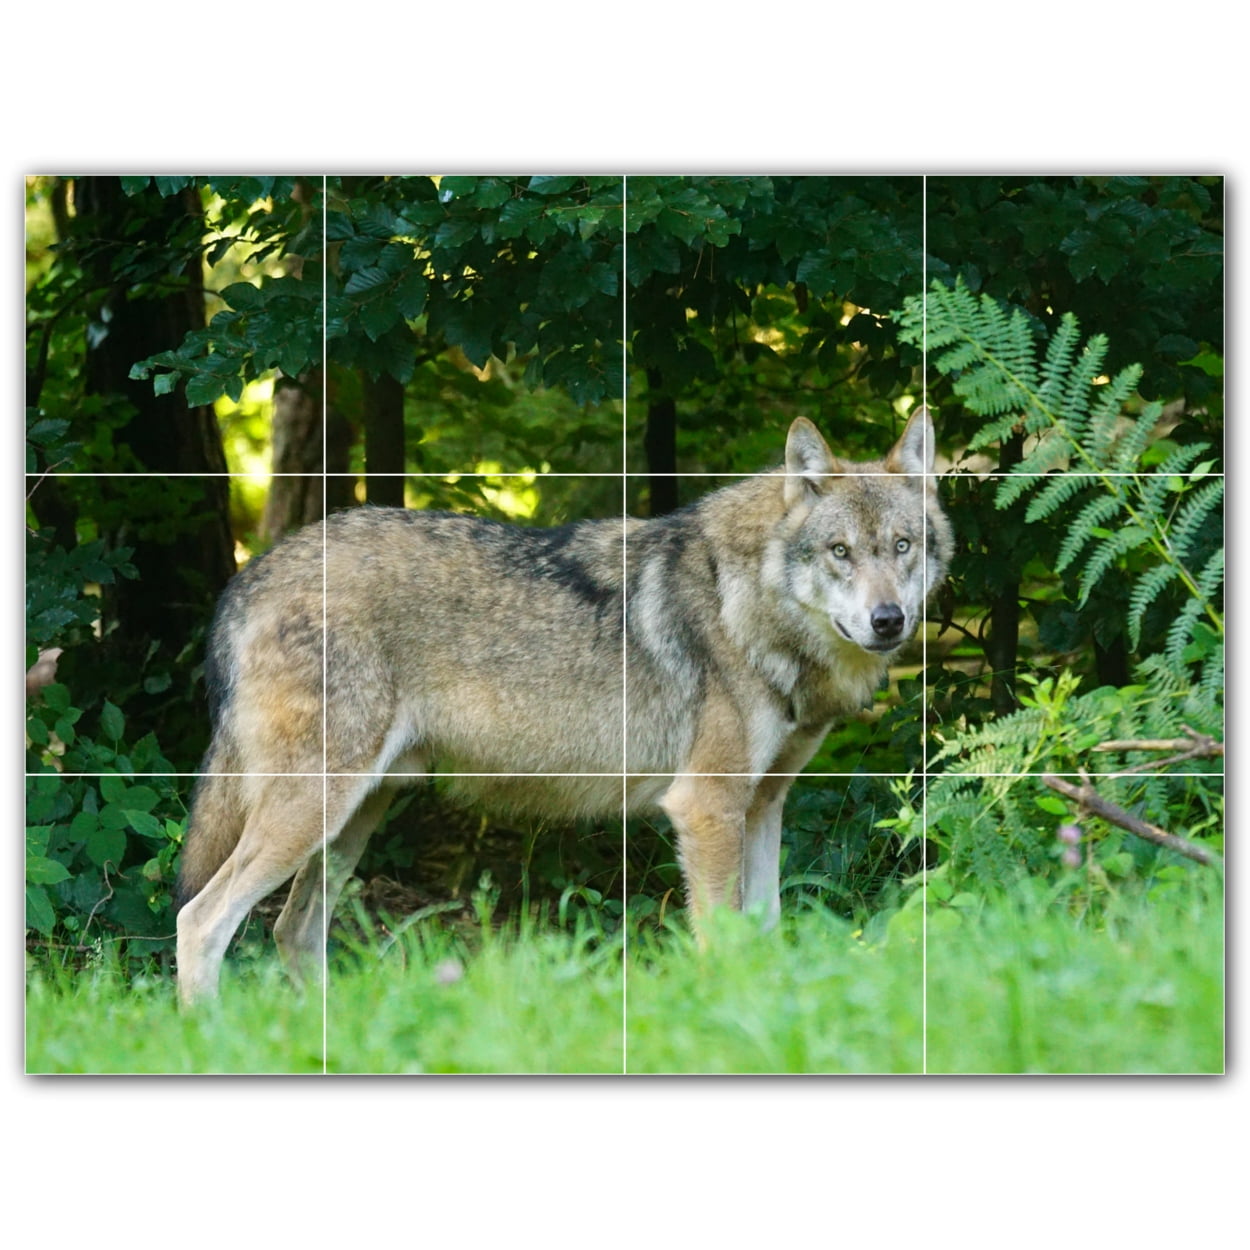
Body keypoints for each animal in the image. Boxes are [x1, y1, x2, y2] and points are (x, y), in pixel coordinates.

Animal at [175, 408, 951, 1003]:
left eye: (902, 546)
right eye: (840, 551)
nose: (888, 621)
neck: (748, 603)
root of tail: (250, 575)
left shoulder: (763, 805)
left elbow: (766, 935)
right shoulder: (706, 808)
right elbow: (723, 942)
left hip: (353, 818)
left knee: (292, 930)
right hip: (315, 810)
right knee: (199, 921)